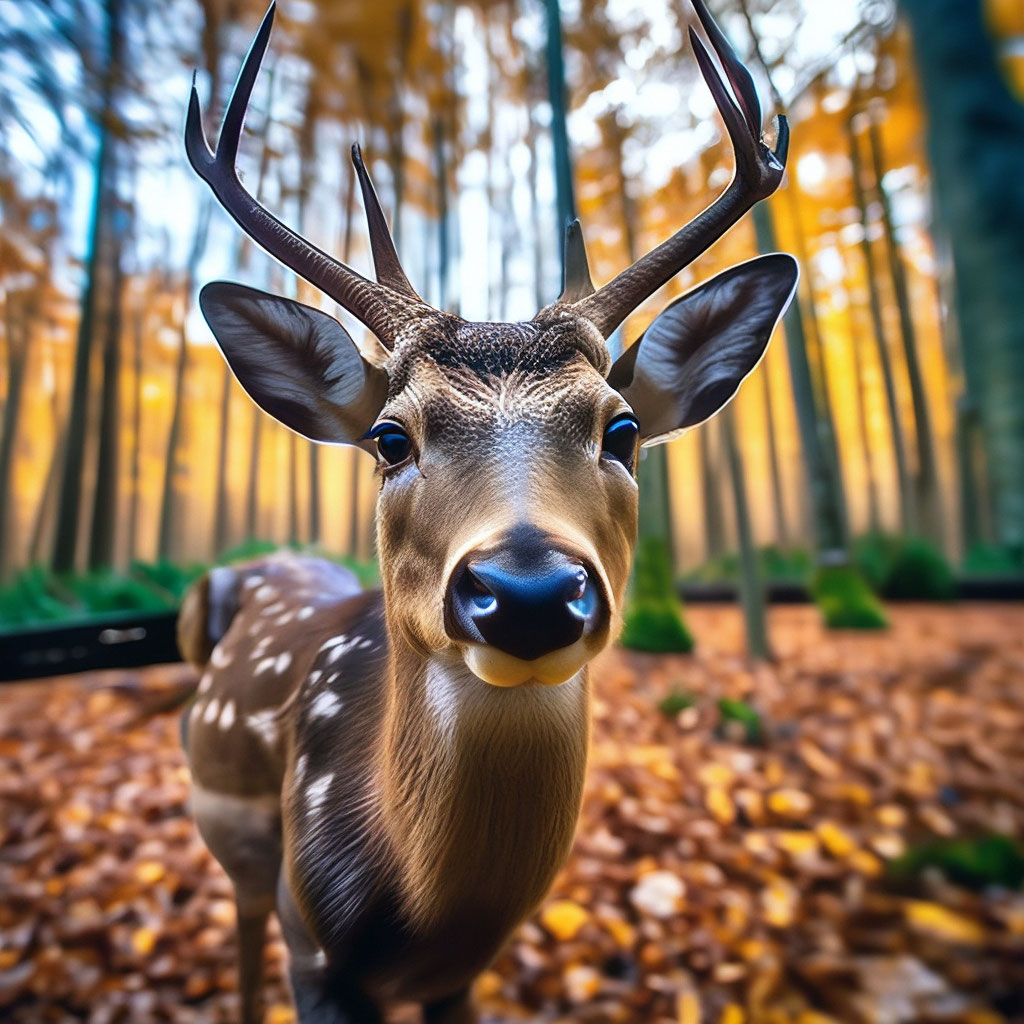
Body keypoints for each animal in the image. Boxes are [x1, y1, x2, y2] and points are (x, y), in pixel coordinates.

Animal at [176, 1, 797, 1021]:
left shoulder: (466, 973)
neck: (416, 914)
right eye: (390, 438)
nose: (530, 590)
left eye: (623, 428)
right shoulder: (313, 949)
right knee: (240, 928)